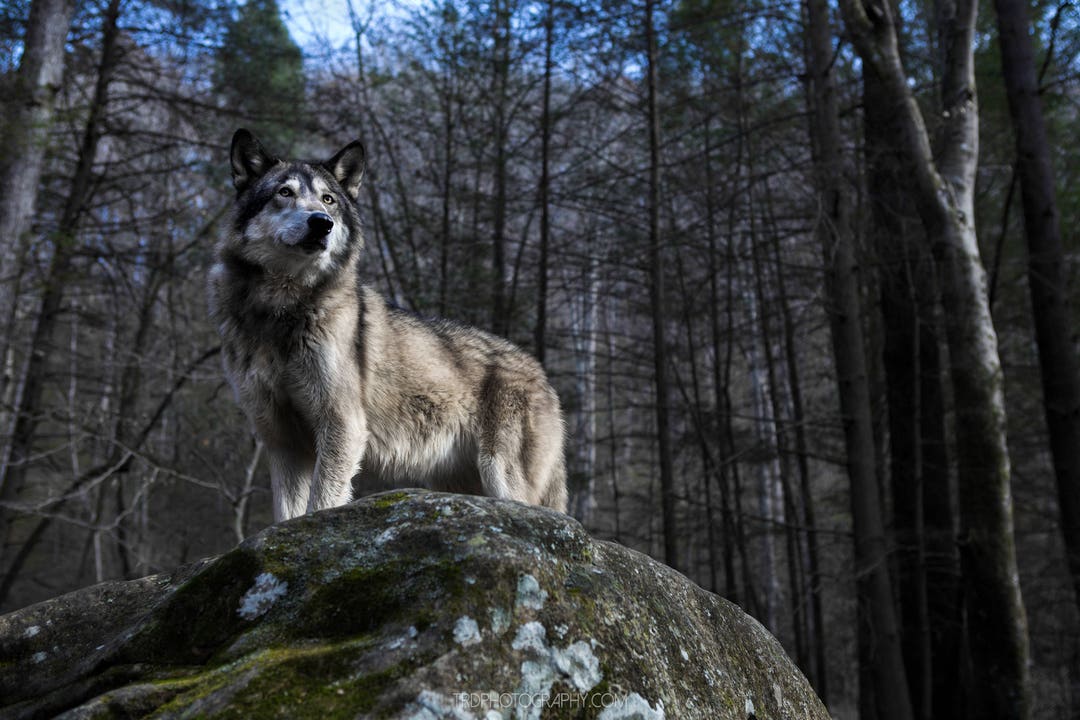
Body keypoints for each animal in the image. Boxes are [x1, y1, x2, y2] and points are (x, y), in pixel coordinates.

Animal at [208, 129, 567, 521]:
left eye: (328, 199)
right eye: (284, 193)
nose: (321, 222)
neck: (280, 309)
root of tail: (543, 375)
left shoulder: (342, 426)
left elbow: (321, 504)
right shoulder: (282, 441)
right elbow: (289, 516)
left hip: (504, 480)